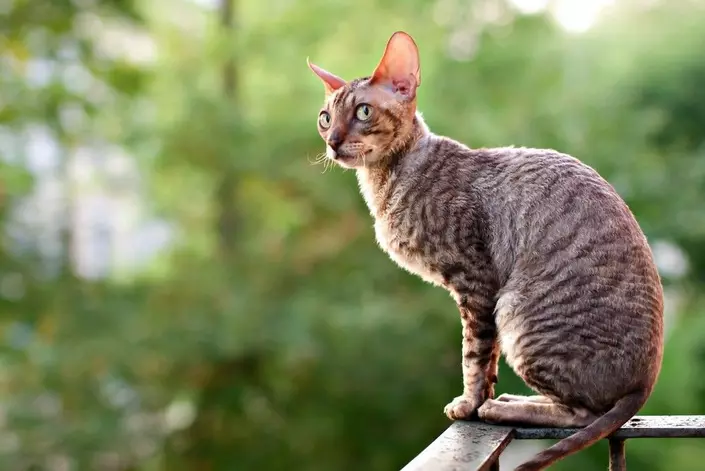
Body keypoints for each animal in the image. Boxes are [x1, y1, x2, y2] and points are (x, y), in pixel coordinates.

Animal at [306, 31, 664, 470]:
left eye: (363, 111)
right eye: (325, 117)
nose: (333, 141)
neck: (384, 183)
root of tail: (644, 384)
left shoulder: (475, 281)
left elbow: (473, 355)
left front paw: (469, 404)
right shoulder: (479, 291)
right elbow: (486, 359)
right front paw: (483, 396)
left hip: (518, 312)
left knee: (584, 414)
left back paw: (505, 407)